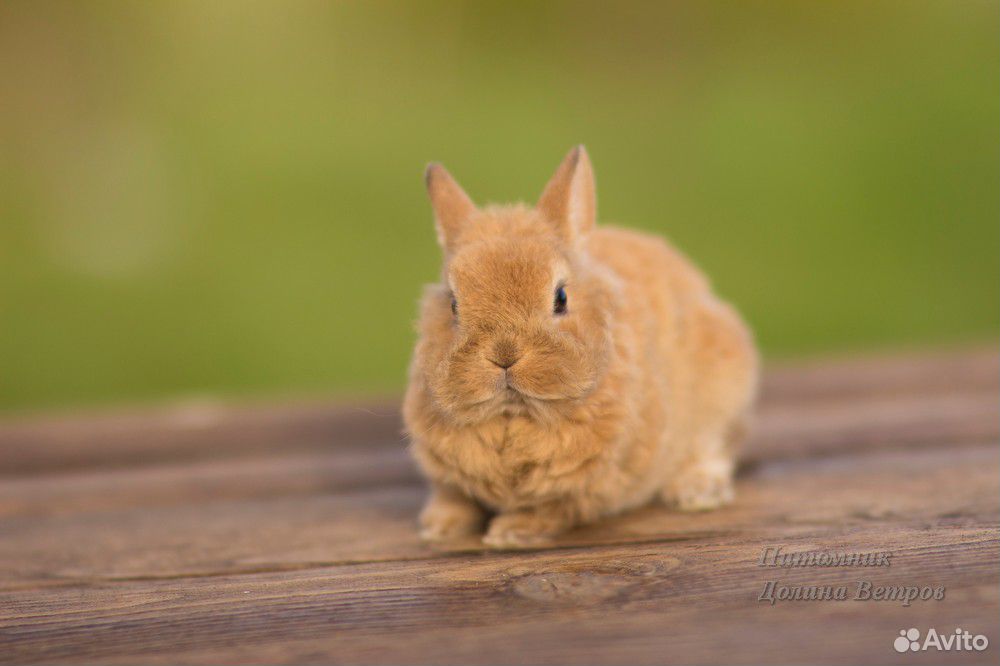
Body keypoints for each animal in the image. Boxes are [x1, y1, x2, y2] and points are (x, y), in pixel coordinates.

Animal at [403, 146, 758, 549]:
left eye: (561, 297)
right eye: (452, 303)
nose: (504, 356)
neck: (513, 415)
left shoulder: (582, 488)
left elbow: (553, 509)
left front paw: (510, 533)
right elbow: (453, 497)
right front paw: (438, 527)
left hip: (725, 390)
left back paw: (696, 493)